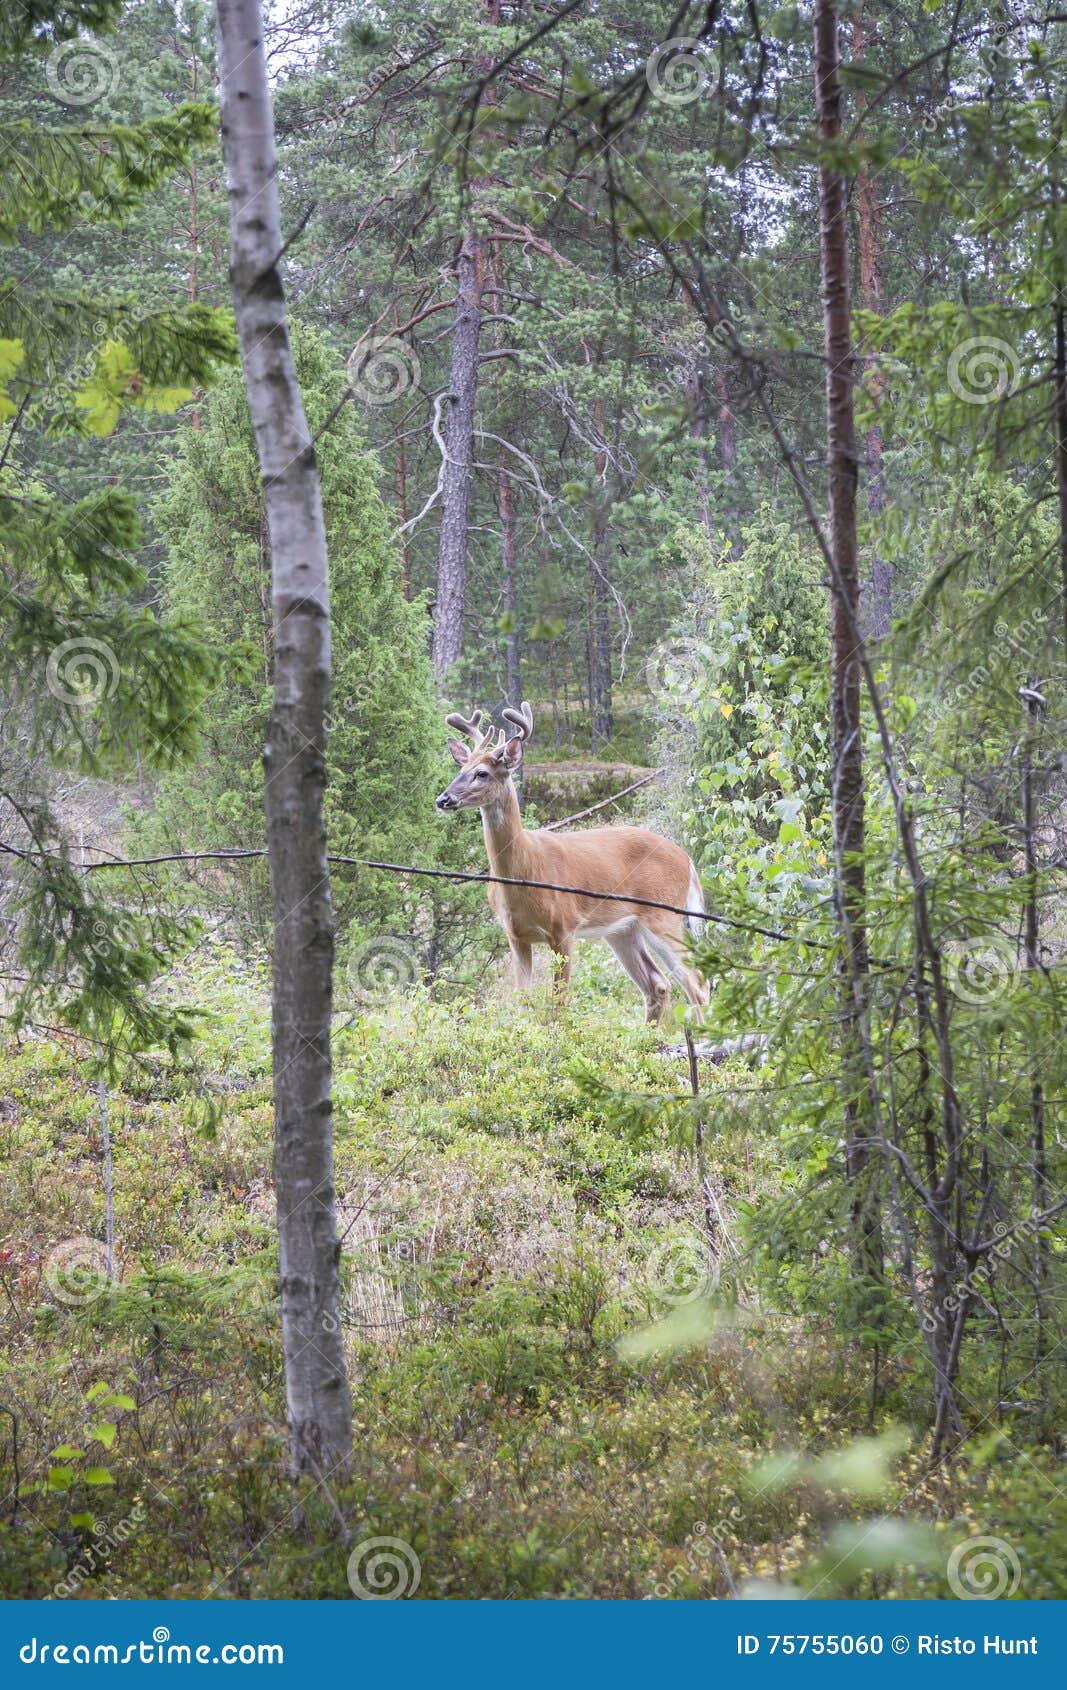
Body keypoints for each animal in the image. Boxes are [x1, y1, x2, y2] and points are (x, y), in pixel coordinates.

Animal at [435, 701, 709, 1023]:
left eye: (482, 773)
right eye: (461, 768)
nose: (443, 799)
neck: (523, 872)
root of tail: (686, 858)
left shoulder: (564, 927)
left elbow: (560, 1002)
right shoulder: (516, 936)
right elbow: (522, 1001)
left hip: (664, 915)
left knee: (696, 982)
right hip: (622, 929)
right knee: (659, 984)